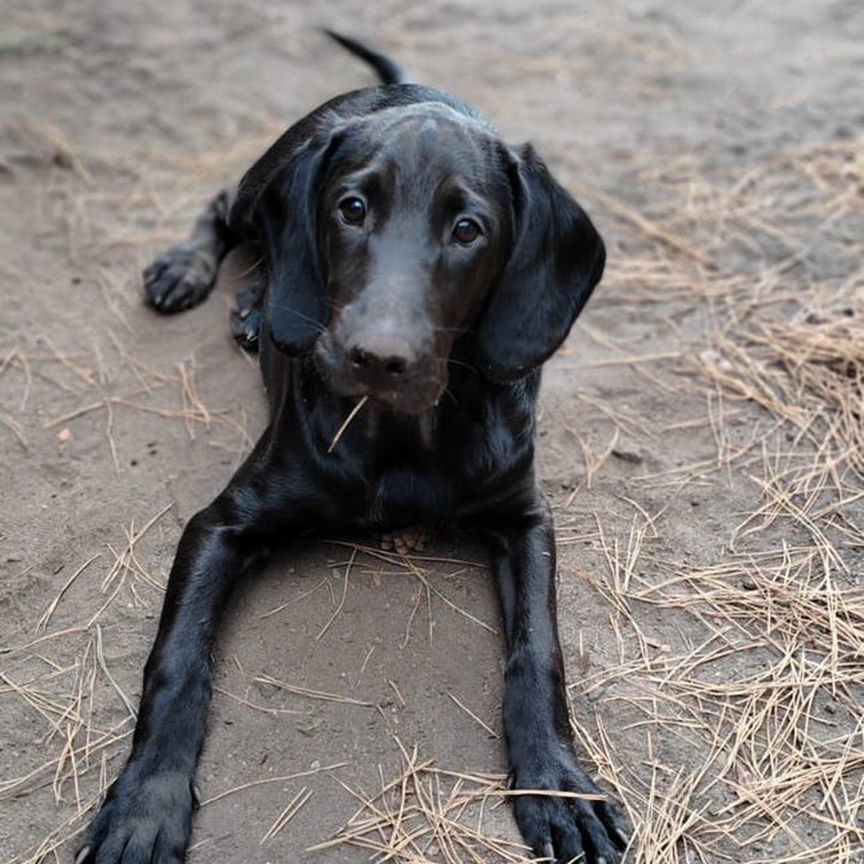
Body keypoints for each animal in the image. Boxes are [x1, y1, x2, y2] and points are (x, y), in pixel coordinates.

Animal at [76, 30, 628, 860]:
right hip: (260, 186)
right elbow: (176, 660)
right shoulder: (221, 524)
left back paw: (254, 306)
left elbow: (540, 652)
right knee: (227, 212)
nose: (374, 356)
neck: (401, 436)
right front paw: (146, 802)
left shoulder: (526, 519)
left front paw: (558, 784)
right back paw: (196, 271)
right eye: (353, 208)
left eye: (468, 229)